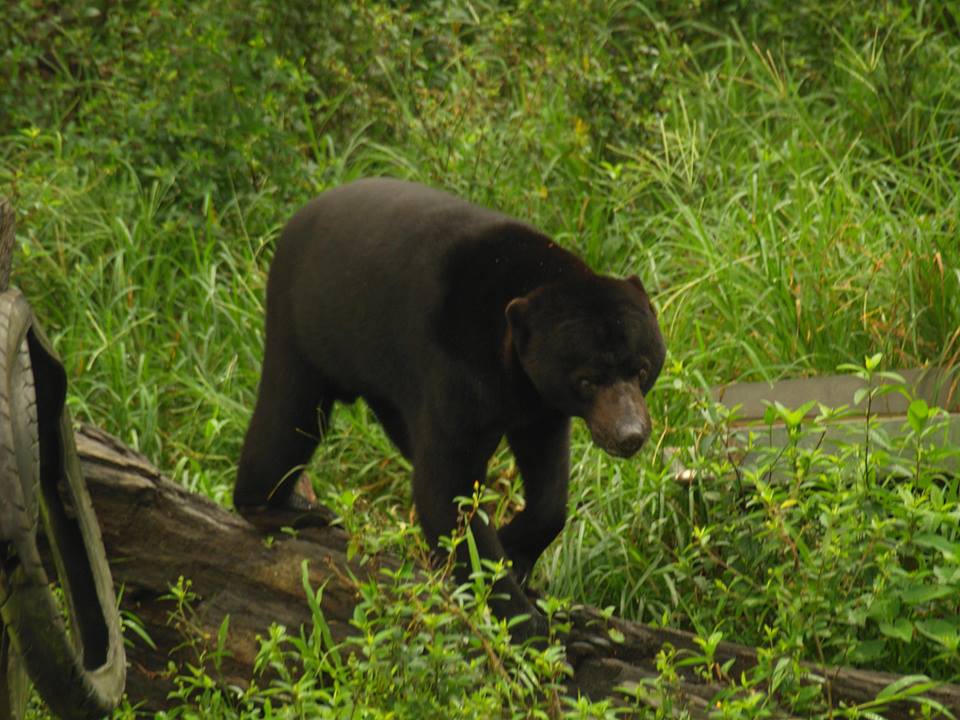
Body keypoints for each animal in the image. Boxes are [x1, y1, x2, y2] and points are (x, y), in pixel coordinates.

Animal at [235, 178, 666, 637]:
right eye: (587, 380)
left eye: (640, 368)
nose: (630, 434)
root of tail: (293, 222)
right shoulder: (453, 368)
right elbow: (446, 488)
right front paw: (522, 621)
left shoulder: (539, 403)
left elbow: (547, 481)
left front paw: (515, 548)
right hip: (305, 325)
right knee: (290, 415)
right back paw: (282, 509)